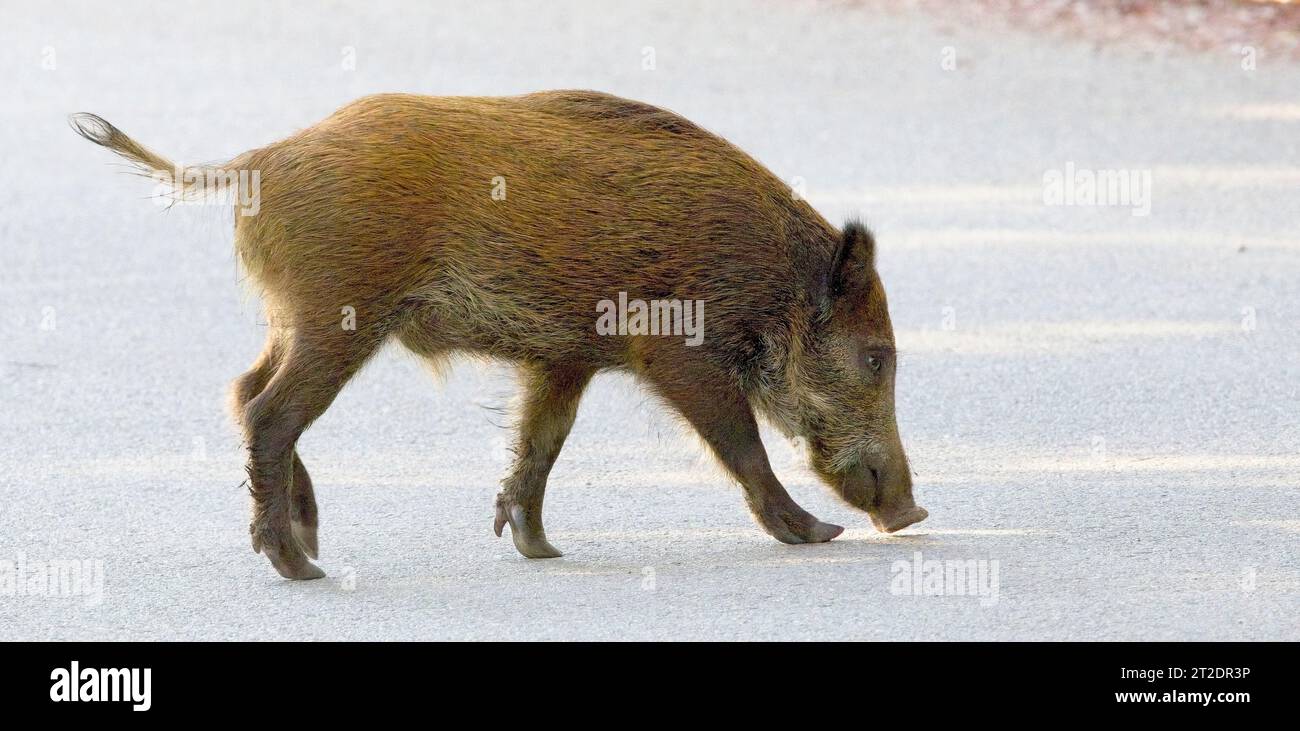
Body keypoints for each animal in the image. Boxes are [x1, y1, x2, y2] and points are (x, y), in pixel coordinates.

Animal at [70, 91, 927, 579]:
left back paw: (310, 542)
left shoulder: (563, 359)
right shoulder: (674, 350)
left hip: (300, 315)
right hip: (337, 314)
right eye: (876, 356)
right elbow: (742, 444)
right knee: (269, 410)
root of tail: (259, 160)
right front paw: (819, 534)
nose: (913, 512)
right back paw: (300, 568)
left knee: (245, 390)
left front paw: (539, 548)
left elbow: (542, 442)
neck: (772, 283)